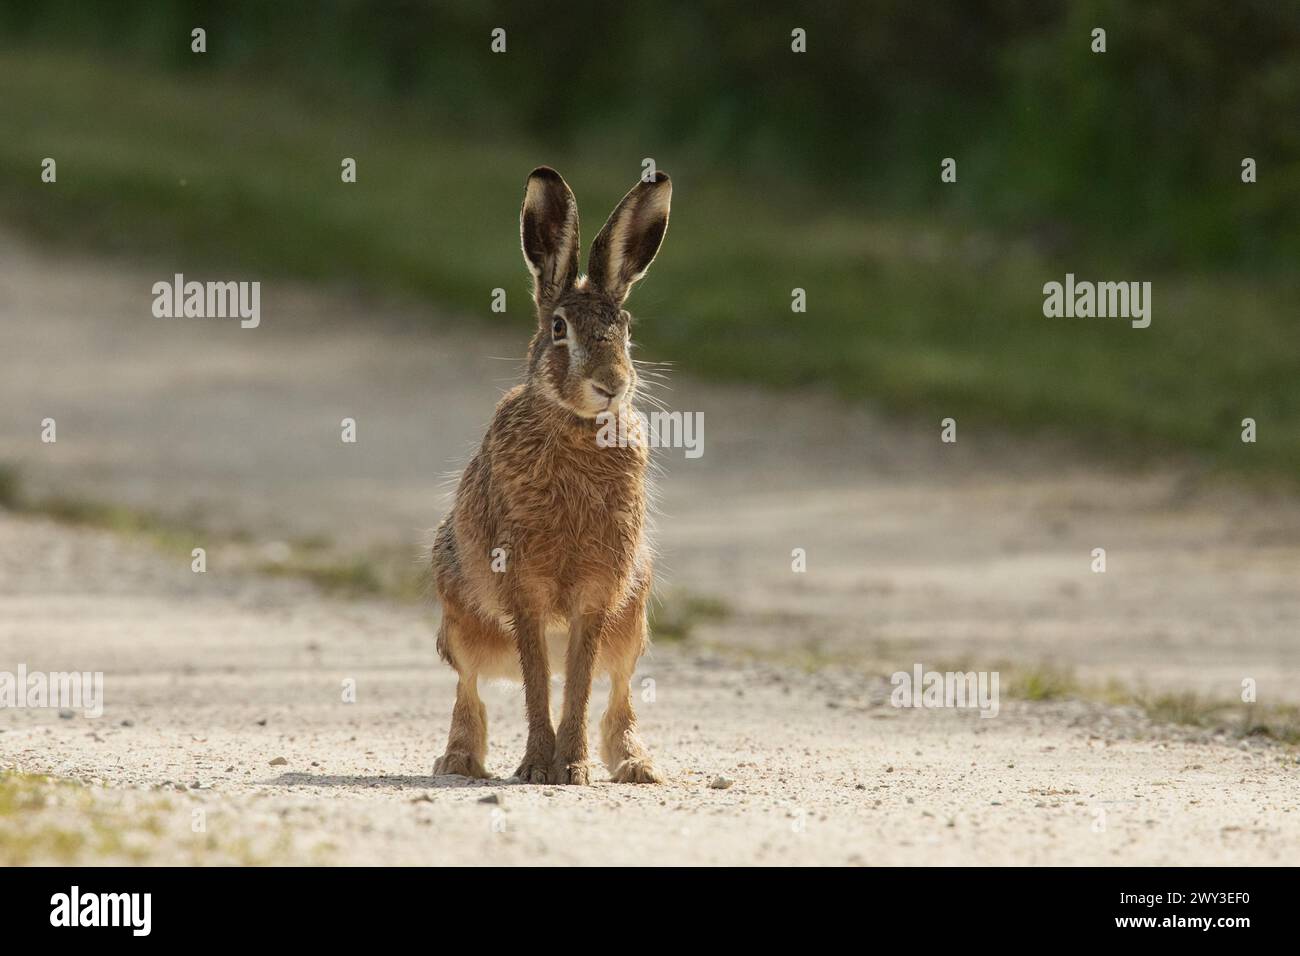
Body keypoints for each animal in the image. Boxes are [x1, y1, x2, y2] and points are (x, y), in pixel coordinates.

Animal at [431, 166, 672, 785]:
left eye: (625, 329)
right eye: (559, 328)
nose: (611, 384)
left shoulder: (599, 592)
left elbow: (578, 684)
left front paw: (575, 768)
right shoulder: (523, 587)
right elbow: (539, 681)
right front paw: (539, 768)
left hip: (632, 618)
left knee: (619, 690)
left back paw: (636, 765)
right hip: (460, 617)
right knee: (469, 685)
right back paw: (460, 761)